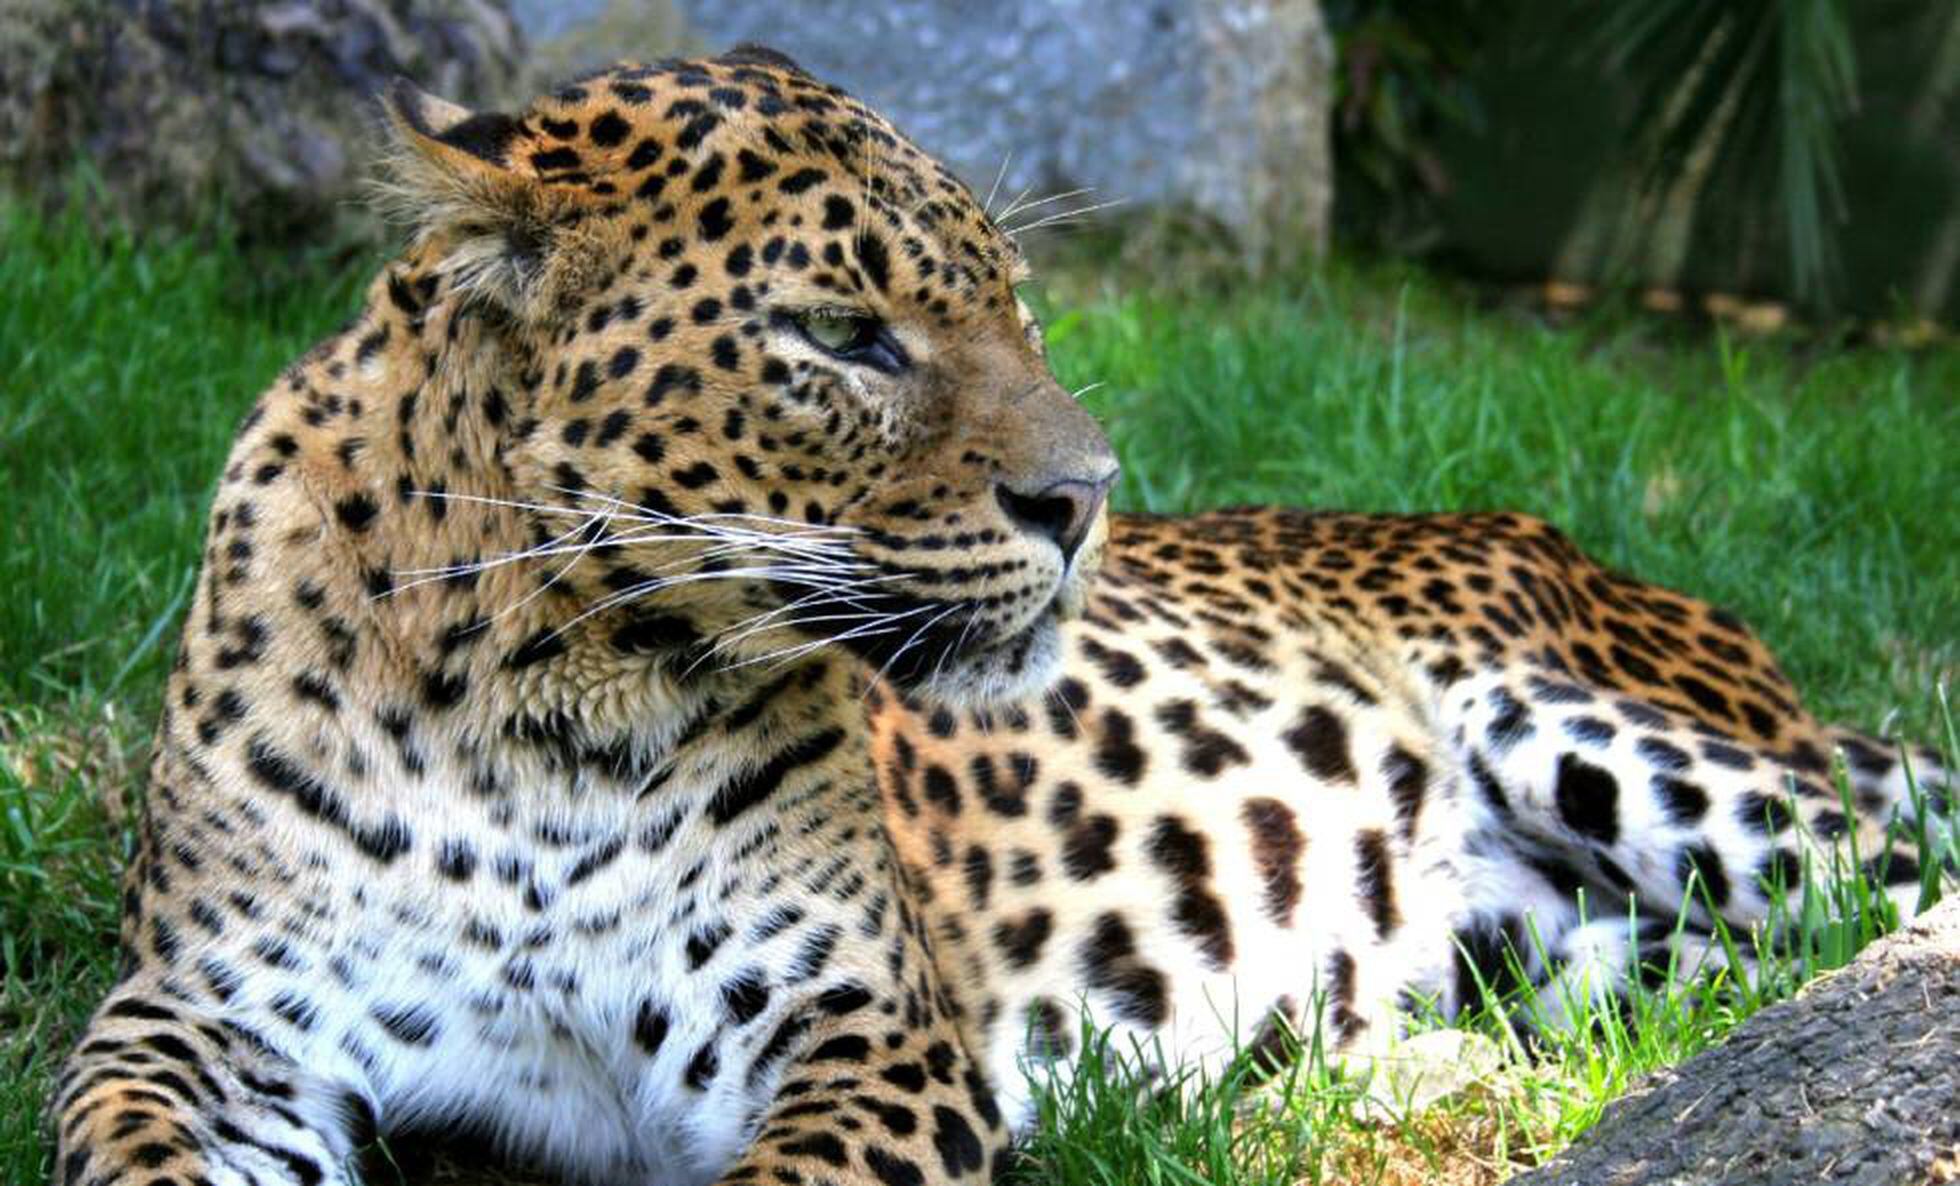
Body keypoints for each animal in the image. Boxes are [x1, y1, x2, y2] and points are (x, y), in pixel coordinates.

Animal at [52, 43, 1948, 1186]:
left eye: (1015, 310)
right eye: (842, 335)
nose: (1087, 494)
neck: (542, 695)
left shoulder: (857, 1021)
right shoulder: (210, 1012)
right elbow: (115, 1132)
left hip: (1622, 743)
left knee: (1885, 878)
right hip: (1555, 942)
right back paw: (1381, 1075)